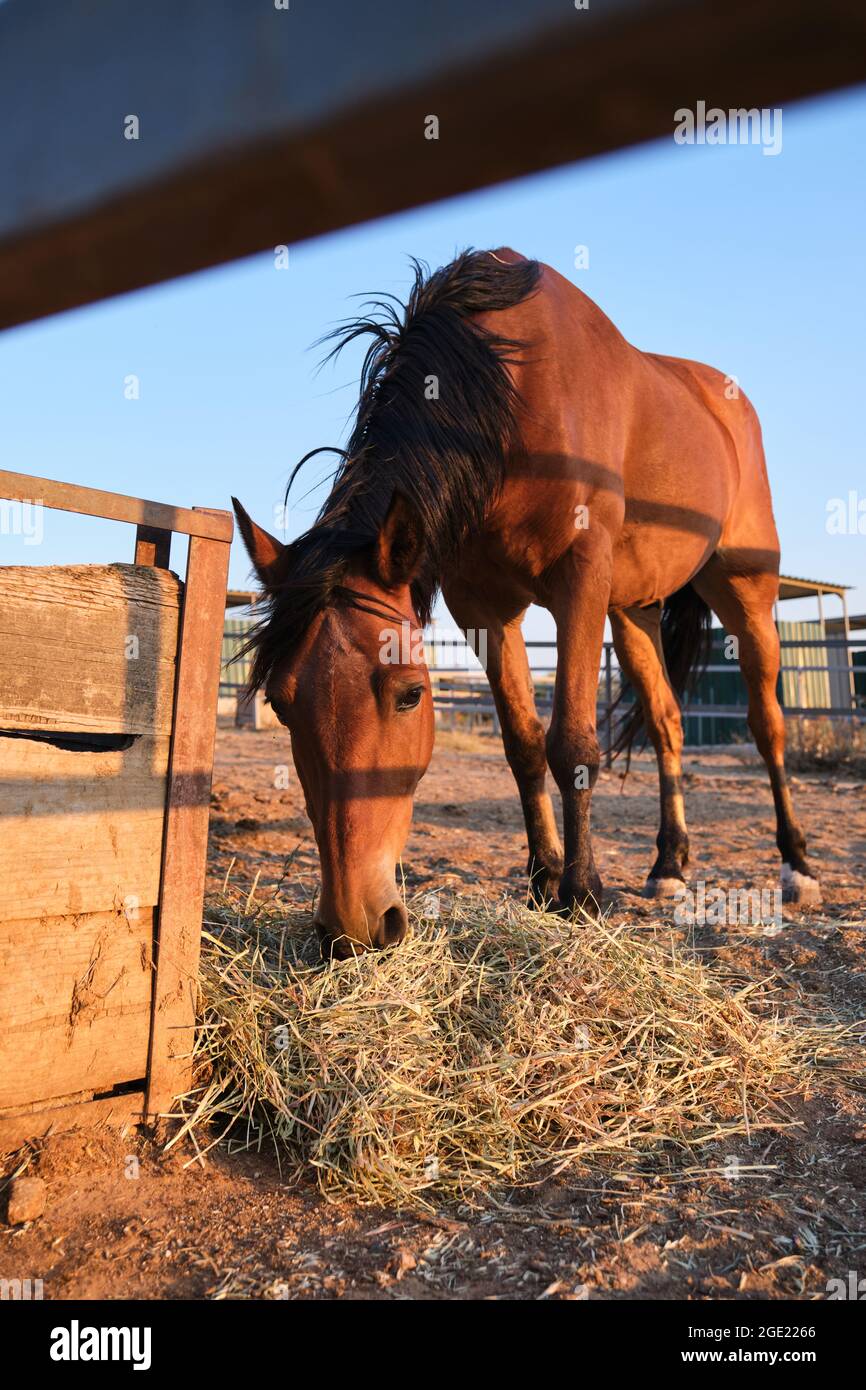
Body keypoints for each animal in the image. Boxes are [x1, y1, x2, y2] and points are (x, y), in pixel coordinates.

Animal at [233, 248, 819, 959]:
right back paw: (669, 866)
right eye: (281, 704)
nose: (353, 925)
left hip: (745, 593)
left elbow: (573, 744)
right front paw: (543, 881)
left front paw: (583, 892)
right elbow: (522, 744)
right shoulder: (483, 610)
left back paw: (797, 865)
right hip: (635, 612)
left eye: (410, 695)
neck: (508, 404)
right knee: (667, 723)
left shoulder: (579, 584)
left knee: (767, 724)